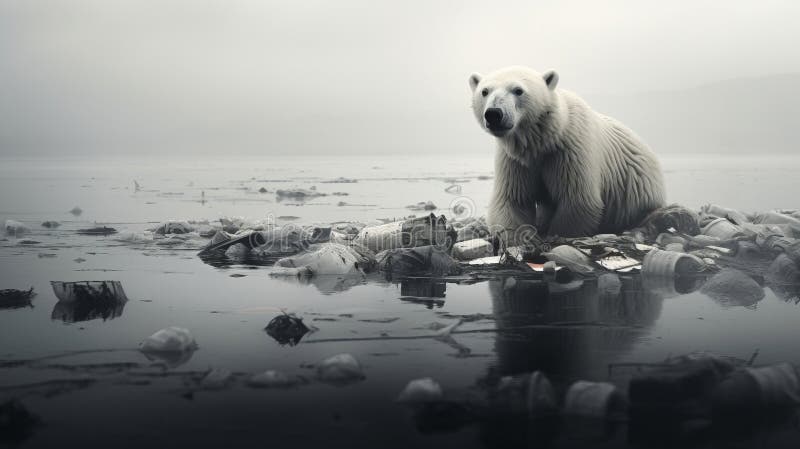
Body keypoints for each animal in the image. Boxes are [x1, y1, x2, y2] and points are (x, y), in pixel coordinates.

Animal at [469, 66, 666, 238]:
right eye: (485, 91)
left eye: (518, 90)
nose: (494, 114)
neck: (545, 139)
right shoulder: (515, 159)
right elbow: (513, 199)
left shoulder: (569, 151)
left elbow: (577, 200)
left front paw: (555, 235)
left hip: (638, 191)